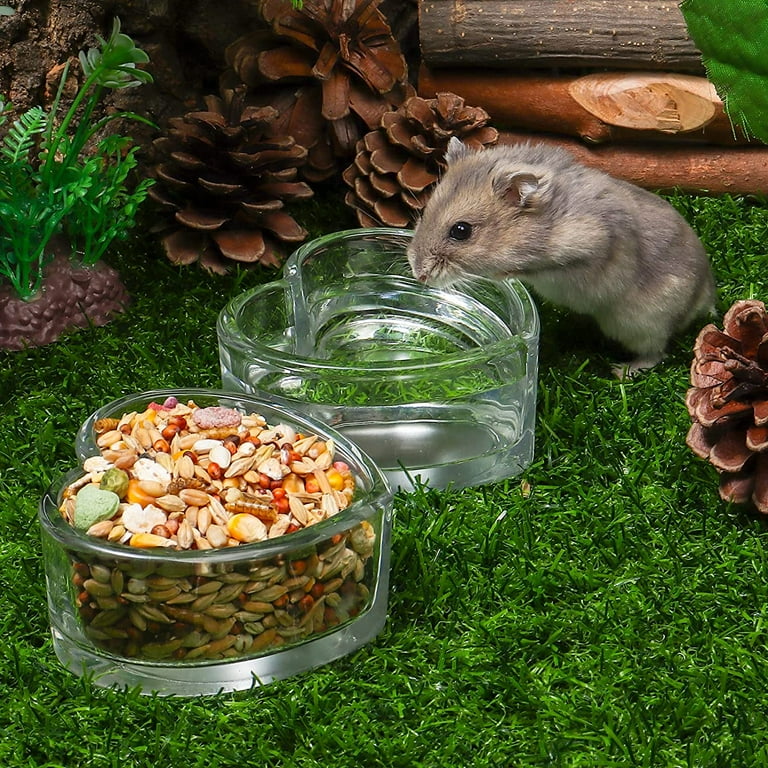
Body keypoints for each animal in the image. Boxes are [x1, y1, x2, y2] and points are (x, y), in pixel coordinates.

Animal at [407, 137, 716, 377]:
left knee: (656, 354)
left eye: (461, 231)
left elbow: (535, 268)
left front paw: (500, 274)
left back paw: (620, 371)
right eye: (425, 211)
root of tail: (705, 296)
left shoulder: (587, 250)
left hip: (641, 325)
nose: (418, 275)